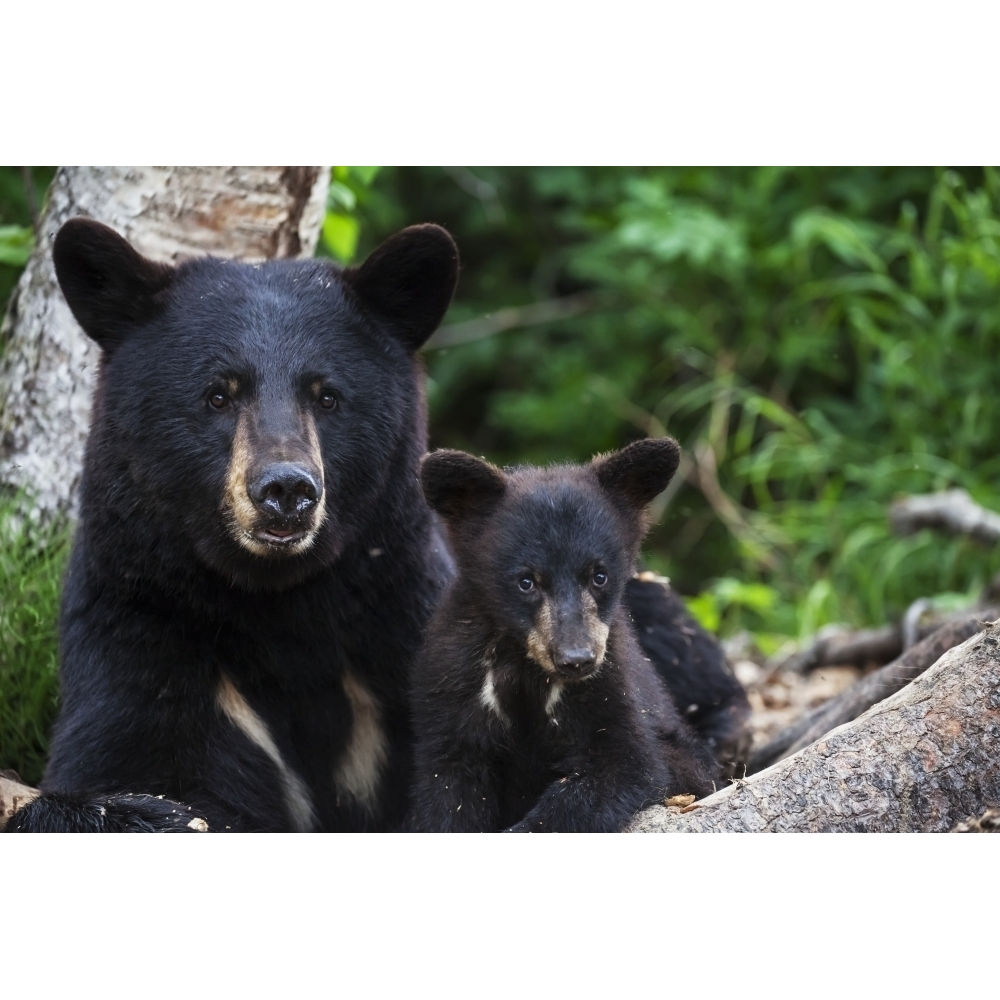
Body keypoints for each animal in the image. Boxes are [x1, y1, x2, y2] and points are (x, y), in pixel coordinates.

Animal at [7, 218, 461, 832]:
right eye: (218, 394)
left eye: (328, 396)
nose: (286, 489)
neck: (281, 609)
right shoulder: (141, 638)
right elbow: (126, 767)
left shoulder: (405, 634)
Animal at [408, 439, 719, 833]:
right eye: (526, 581)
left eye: (599, 575)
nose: (576, 659)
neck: (526, 664)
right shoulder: (454, 683)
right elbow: (448, 789)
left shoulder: (611, 686)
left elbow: (625, 764)